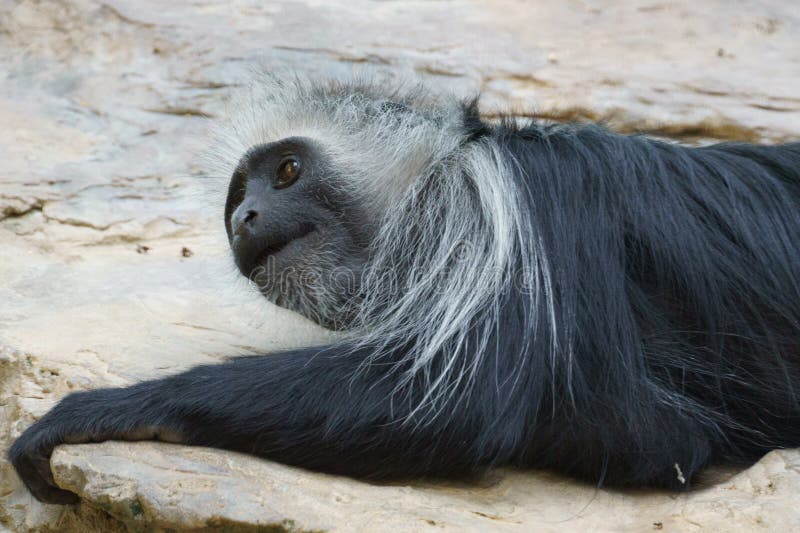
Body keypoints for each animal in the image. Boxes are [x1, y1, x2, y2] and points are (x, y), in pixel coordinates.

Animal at [9, 75, 800, 505]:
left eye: (286, 171)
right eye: (238, 195)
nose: (242, 219)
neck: (441, 175)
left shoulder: (514, 215)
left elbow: (457, 400)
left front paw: (109, 409)